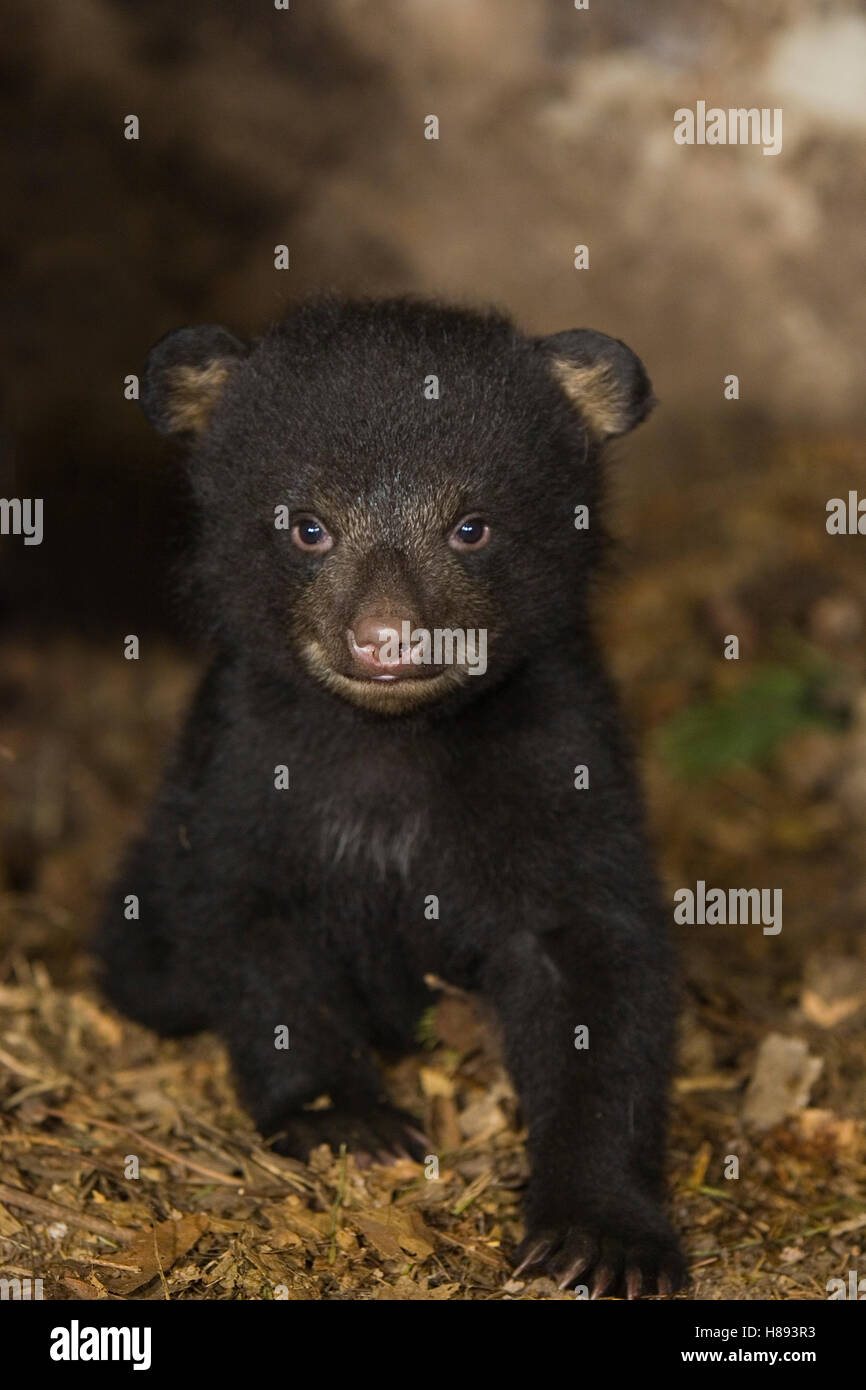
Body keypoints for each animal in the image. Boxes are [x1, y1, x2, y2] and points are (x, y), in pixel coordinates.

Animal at [95, 295, 685, 1298]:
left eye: (471, 527)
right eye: (307, 527)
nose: (388, 638)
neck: (391, 745)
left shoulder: (563, 760)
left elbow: (595, 962)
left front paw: (601, 1236)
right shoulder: (242, 762)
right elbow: (248, 921)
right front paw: (351, 1122)